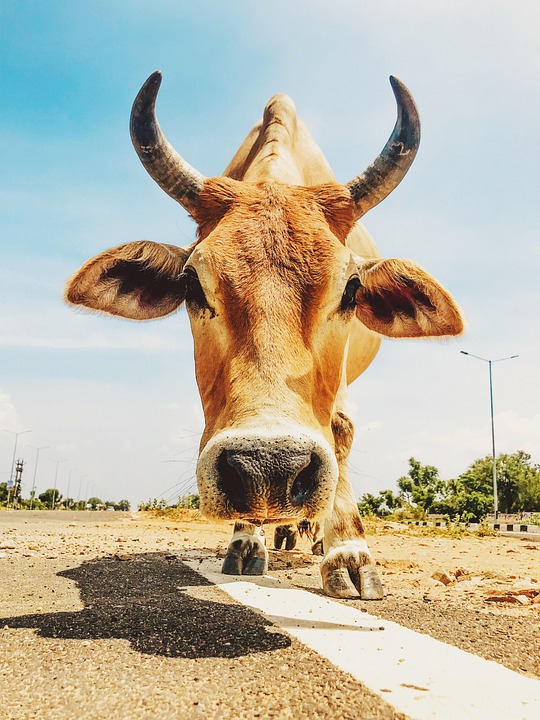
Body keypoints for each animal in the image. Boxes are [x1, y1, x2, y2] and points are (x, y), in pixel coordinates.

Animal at [65, 72, 463, 599]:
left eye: (352, 288)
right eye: (192, 283)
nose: (270, 466)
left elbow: (340, 431)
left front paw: (348, 552)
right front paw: (247, 540)